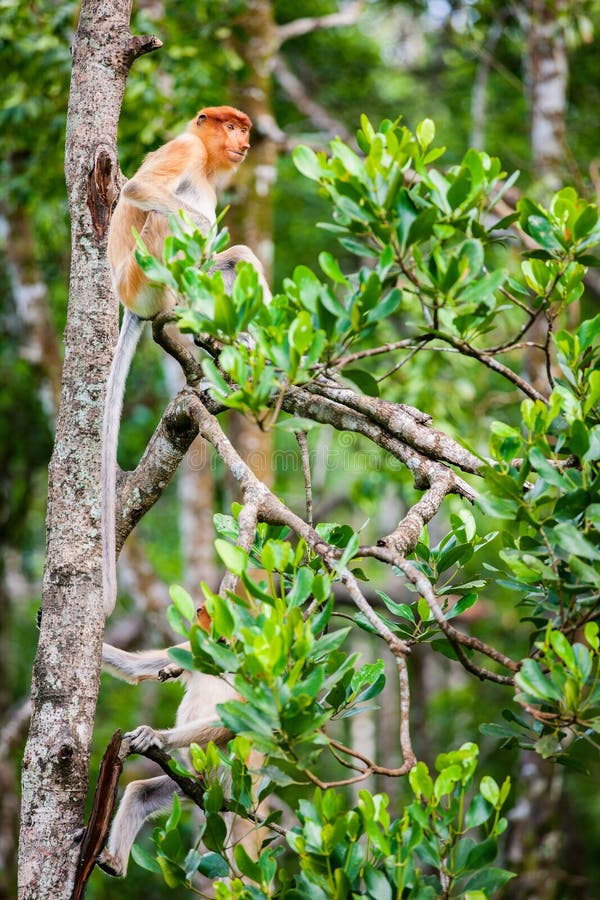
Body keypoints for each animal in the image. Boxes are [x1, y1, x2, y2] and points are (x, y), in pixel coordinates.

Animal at [103, 106, 272, 615]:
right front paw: (205, 224)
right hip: (146, 276)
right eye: (230, 125)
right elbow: (141, 189)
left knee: (236, 258)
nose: (243, 141)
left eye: (243, 128)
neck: (207, 164)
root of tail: (129, 303)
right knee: (171, 219)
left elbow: (232, 255)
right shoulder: (186, 149)